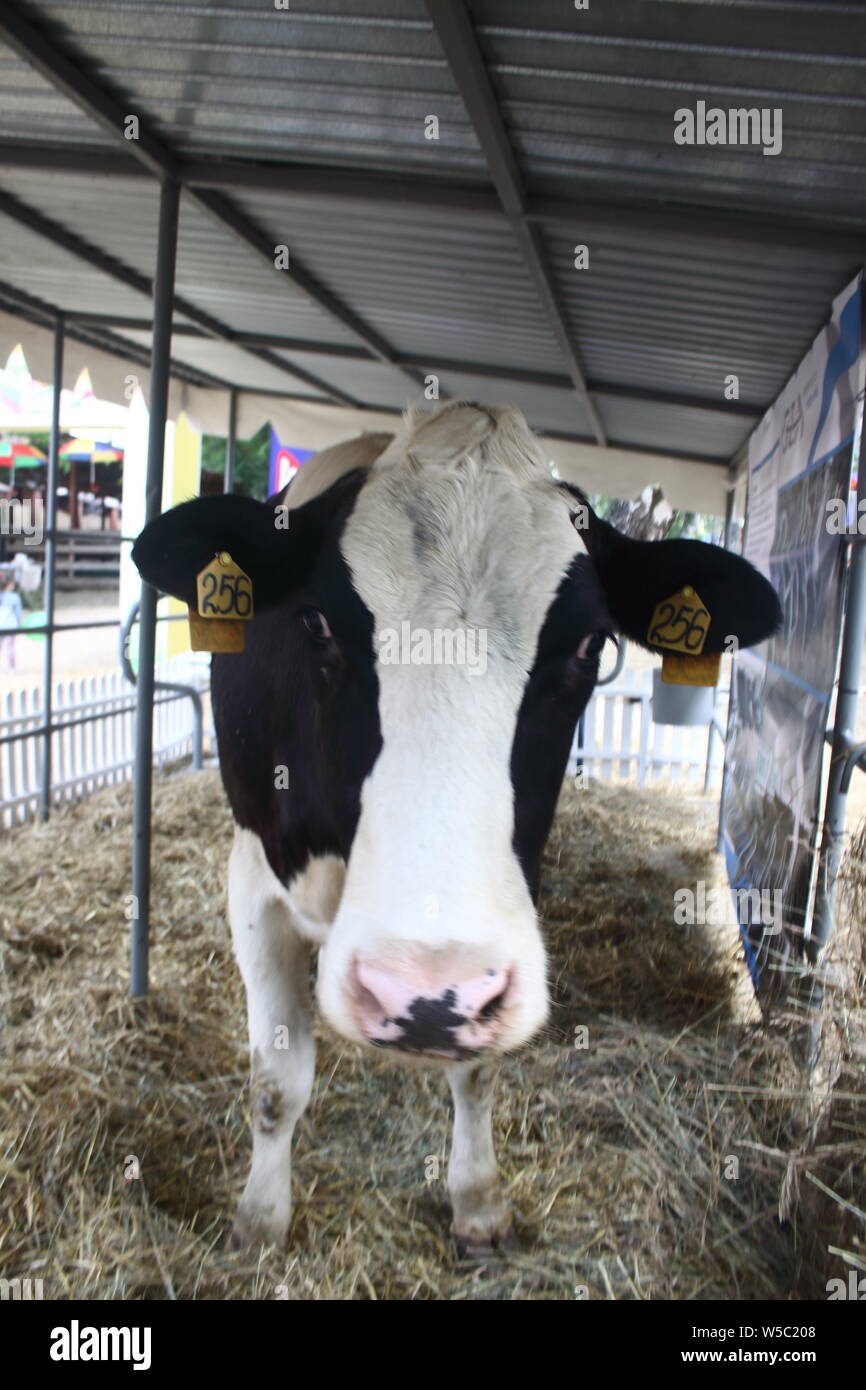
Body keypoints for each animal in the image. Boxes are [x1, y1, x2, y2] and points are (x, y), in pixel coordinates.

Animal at [133, 402, 781, 1254]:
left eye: (591, 645)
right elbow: (278, 1078)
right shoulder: (252, 878)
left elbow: (477, 1069)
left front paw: (477, 1200)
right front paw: (261, 1217)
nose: (425, 996)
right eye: (316, 623)